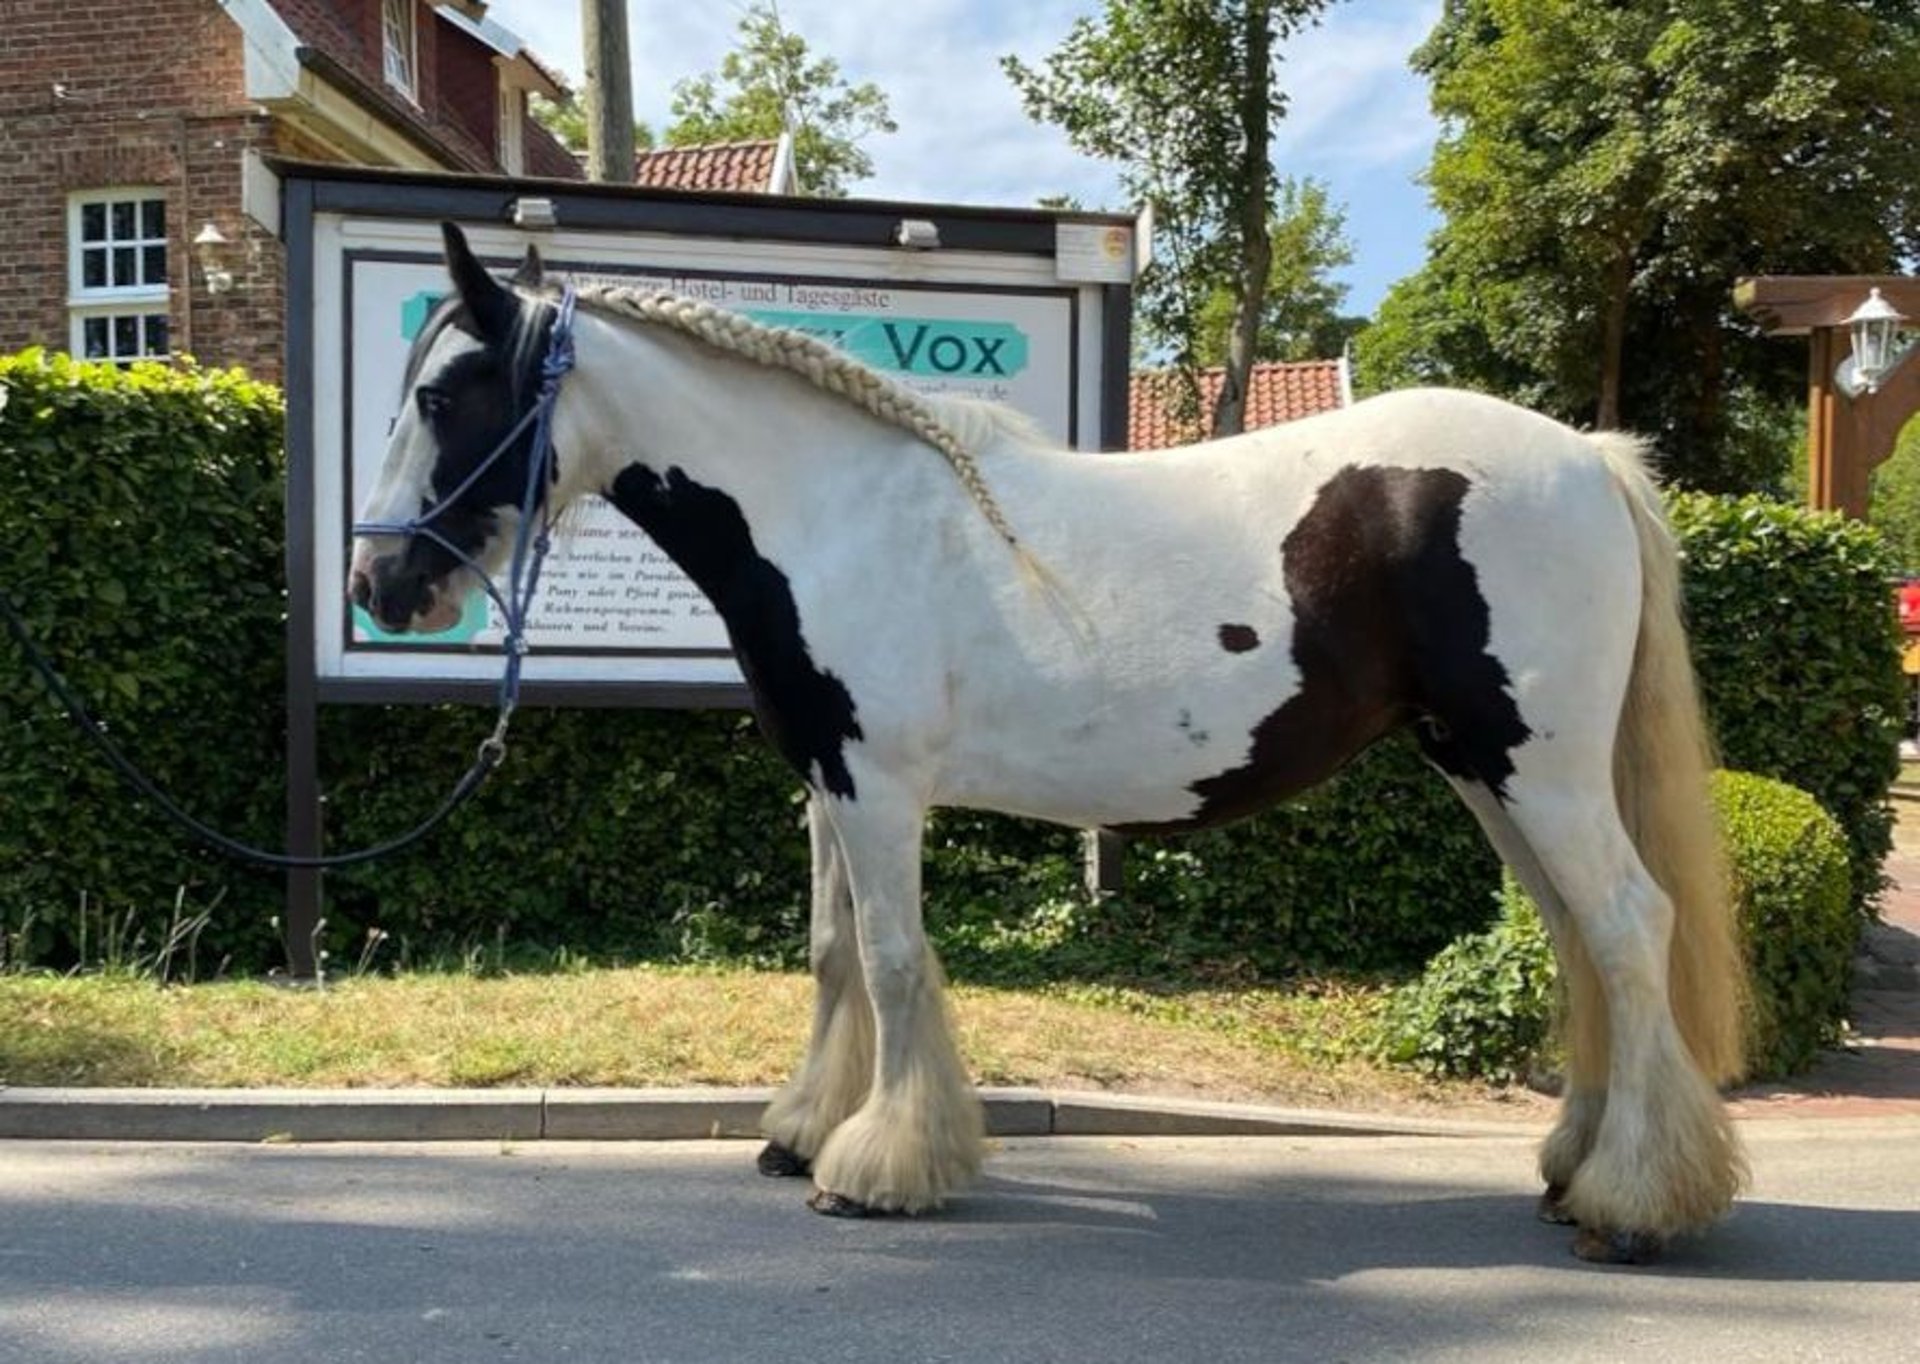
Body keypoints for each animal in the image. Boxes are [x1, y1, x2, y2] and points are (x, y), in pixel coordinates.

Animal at [350, 223, 1748, 1264]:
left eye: (441, 392)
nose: (379, 583)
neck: (834, 509)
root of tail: (1591, 457)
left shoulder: (878, 786)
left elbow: (891, 960)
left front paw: (879, 1163)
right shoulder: (827, 782)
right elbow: (832, 957)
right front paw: (802, 1128)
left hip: (1540, 768)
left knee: (1629, 927)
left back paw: (1634, 1203)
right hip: (1487, 768)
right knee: (1579, 944)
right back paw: (1572, 1169)